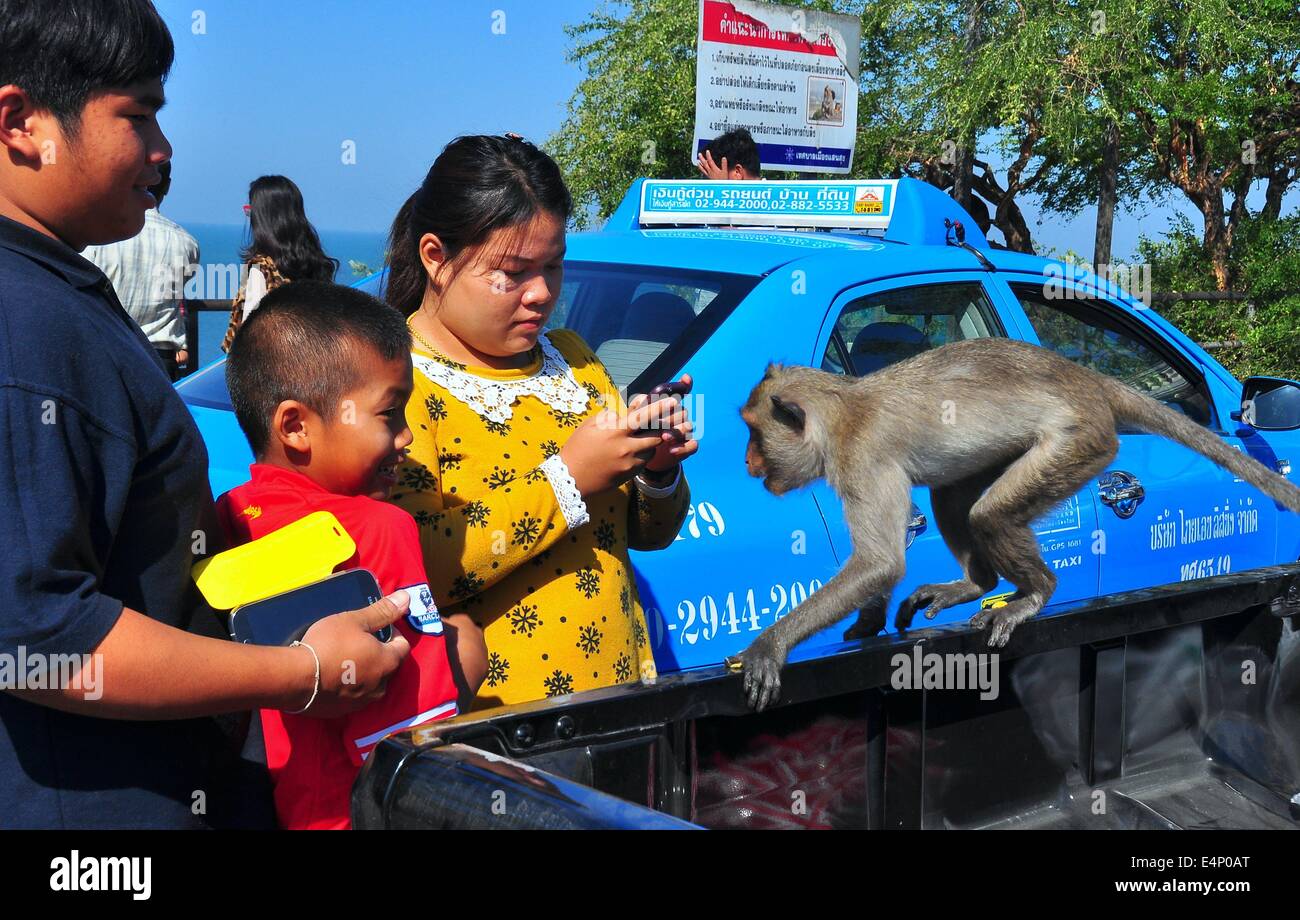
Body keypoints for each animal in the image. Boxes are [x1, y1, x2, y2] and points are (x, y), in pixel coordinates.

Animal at [729, 337, 1300, 711]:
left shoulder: (861, 461)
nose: (748, 462)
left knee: (989, 513)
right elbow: (881, 564)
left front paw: (770, 646)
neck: (842, 412)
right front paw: (868, 622)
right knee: (952, 494)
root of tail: (1086, 379)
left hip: (1083, 440)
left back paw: (1035, 592)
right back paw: (977, 584)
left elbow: (880, 562)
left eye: (755, 433)